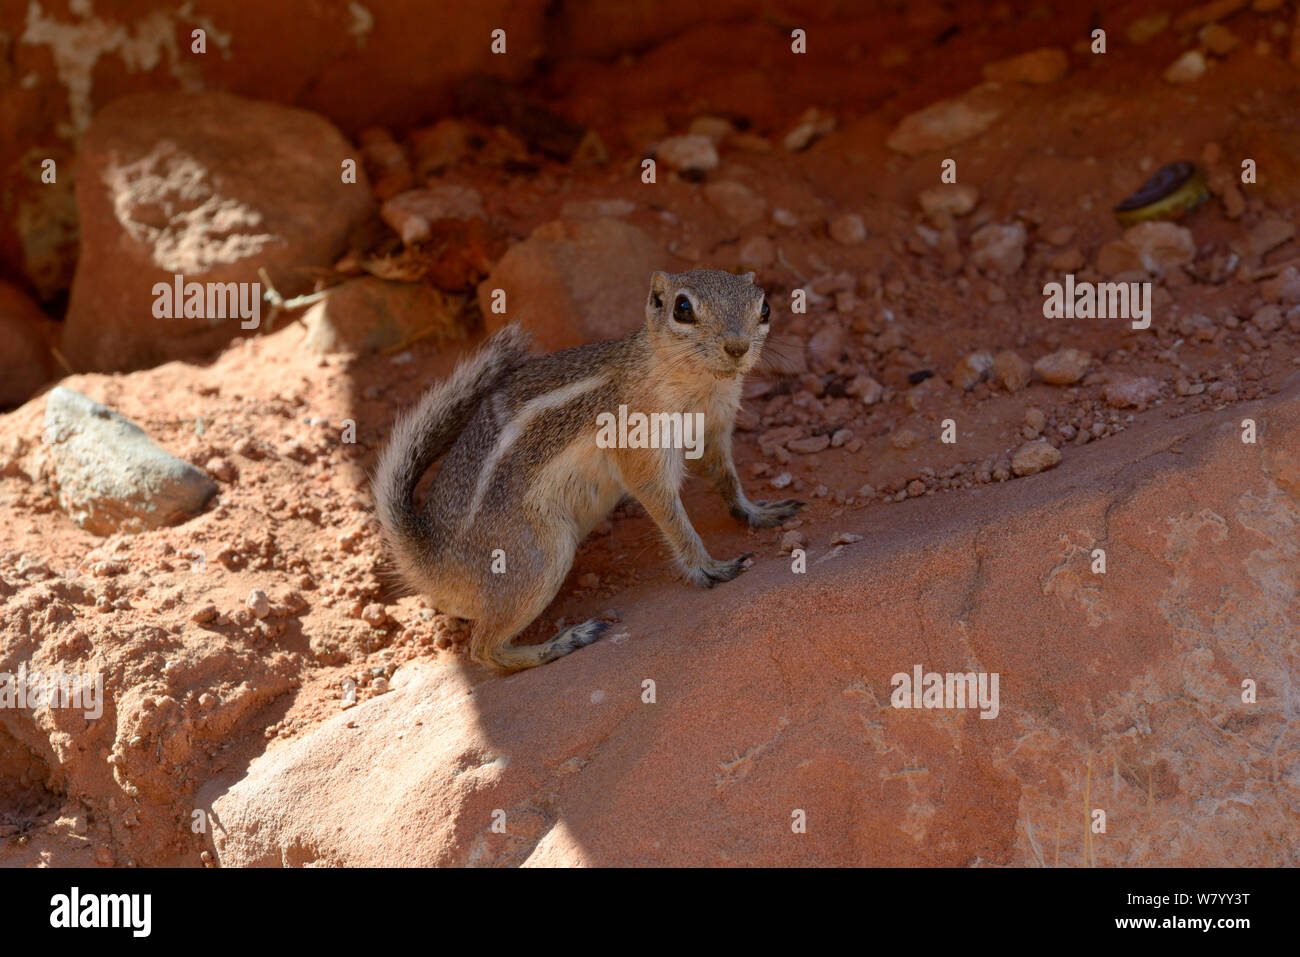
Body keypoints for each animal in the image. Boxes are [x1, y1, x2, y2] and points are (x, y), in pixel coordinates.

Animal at [373, 268, 804, 670]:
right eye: (683, 308)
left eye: (765, 307)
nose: (737, 346)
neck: (699, 386)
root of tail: (430, 559)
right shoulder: (640, 447)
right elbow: (667, 511)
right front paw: (707, 566)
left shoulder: (713, 429)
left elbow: (726, 478)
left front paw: (757, 511)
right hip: (539, 556)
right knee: (483, 650)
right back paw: (563, 642)